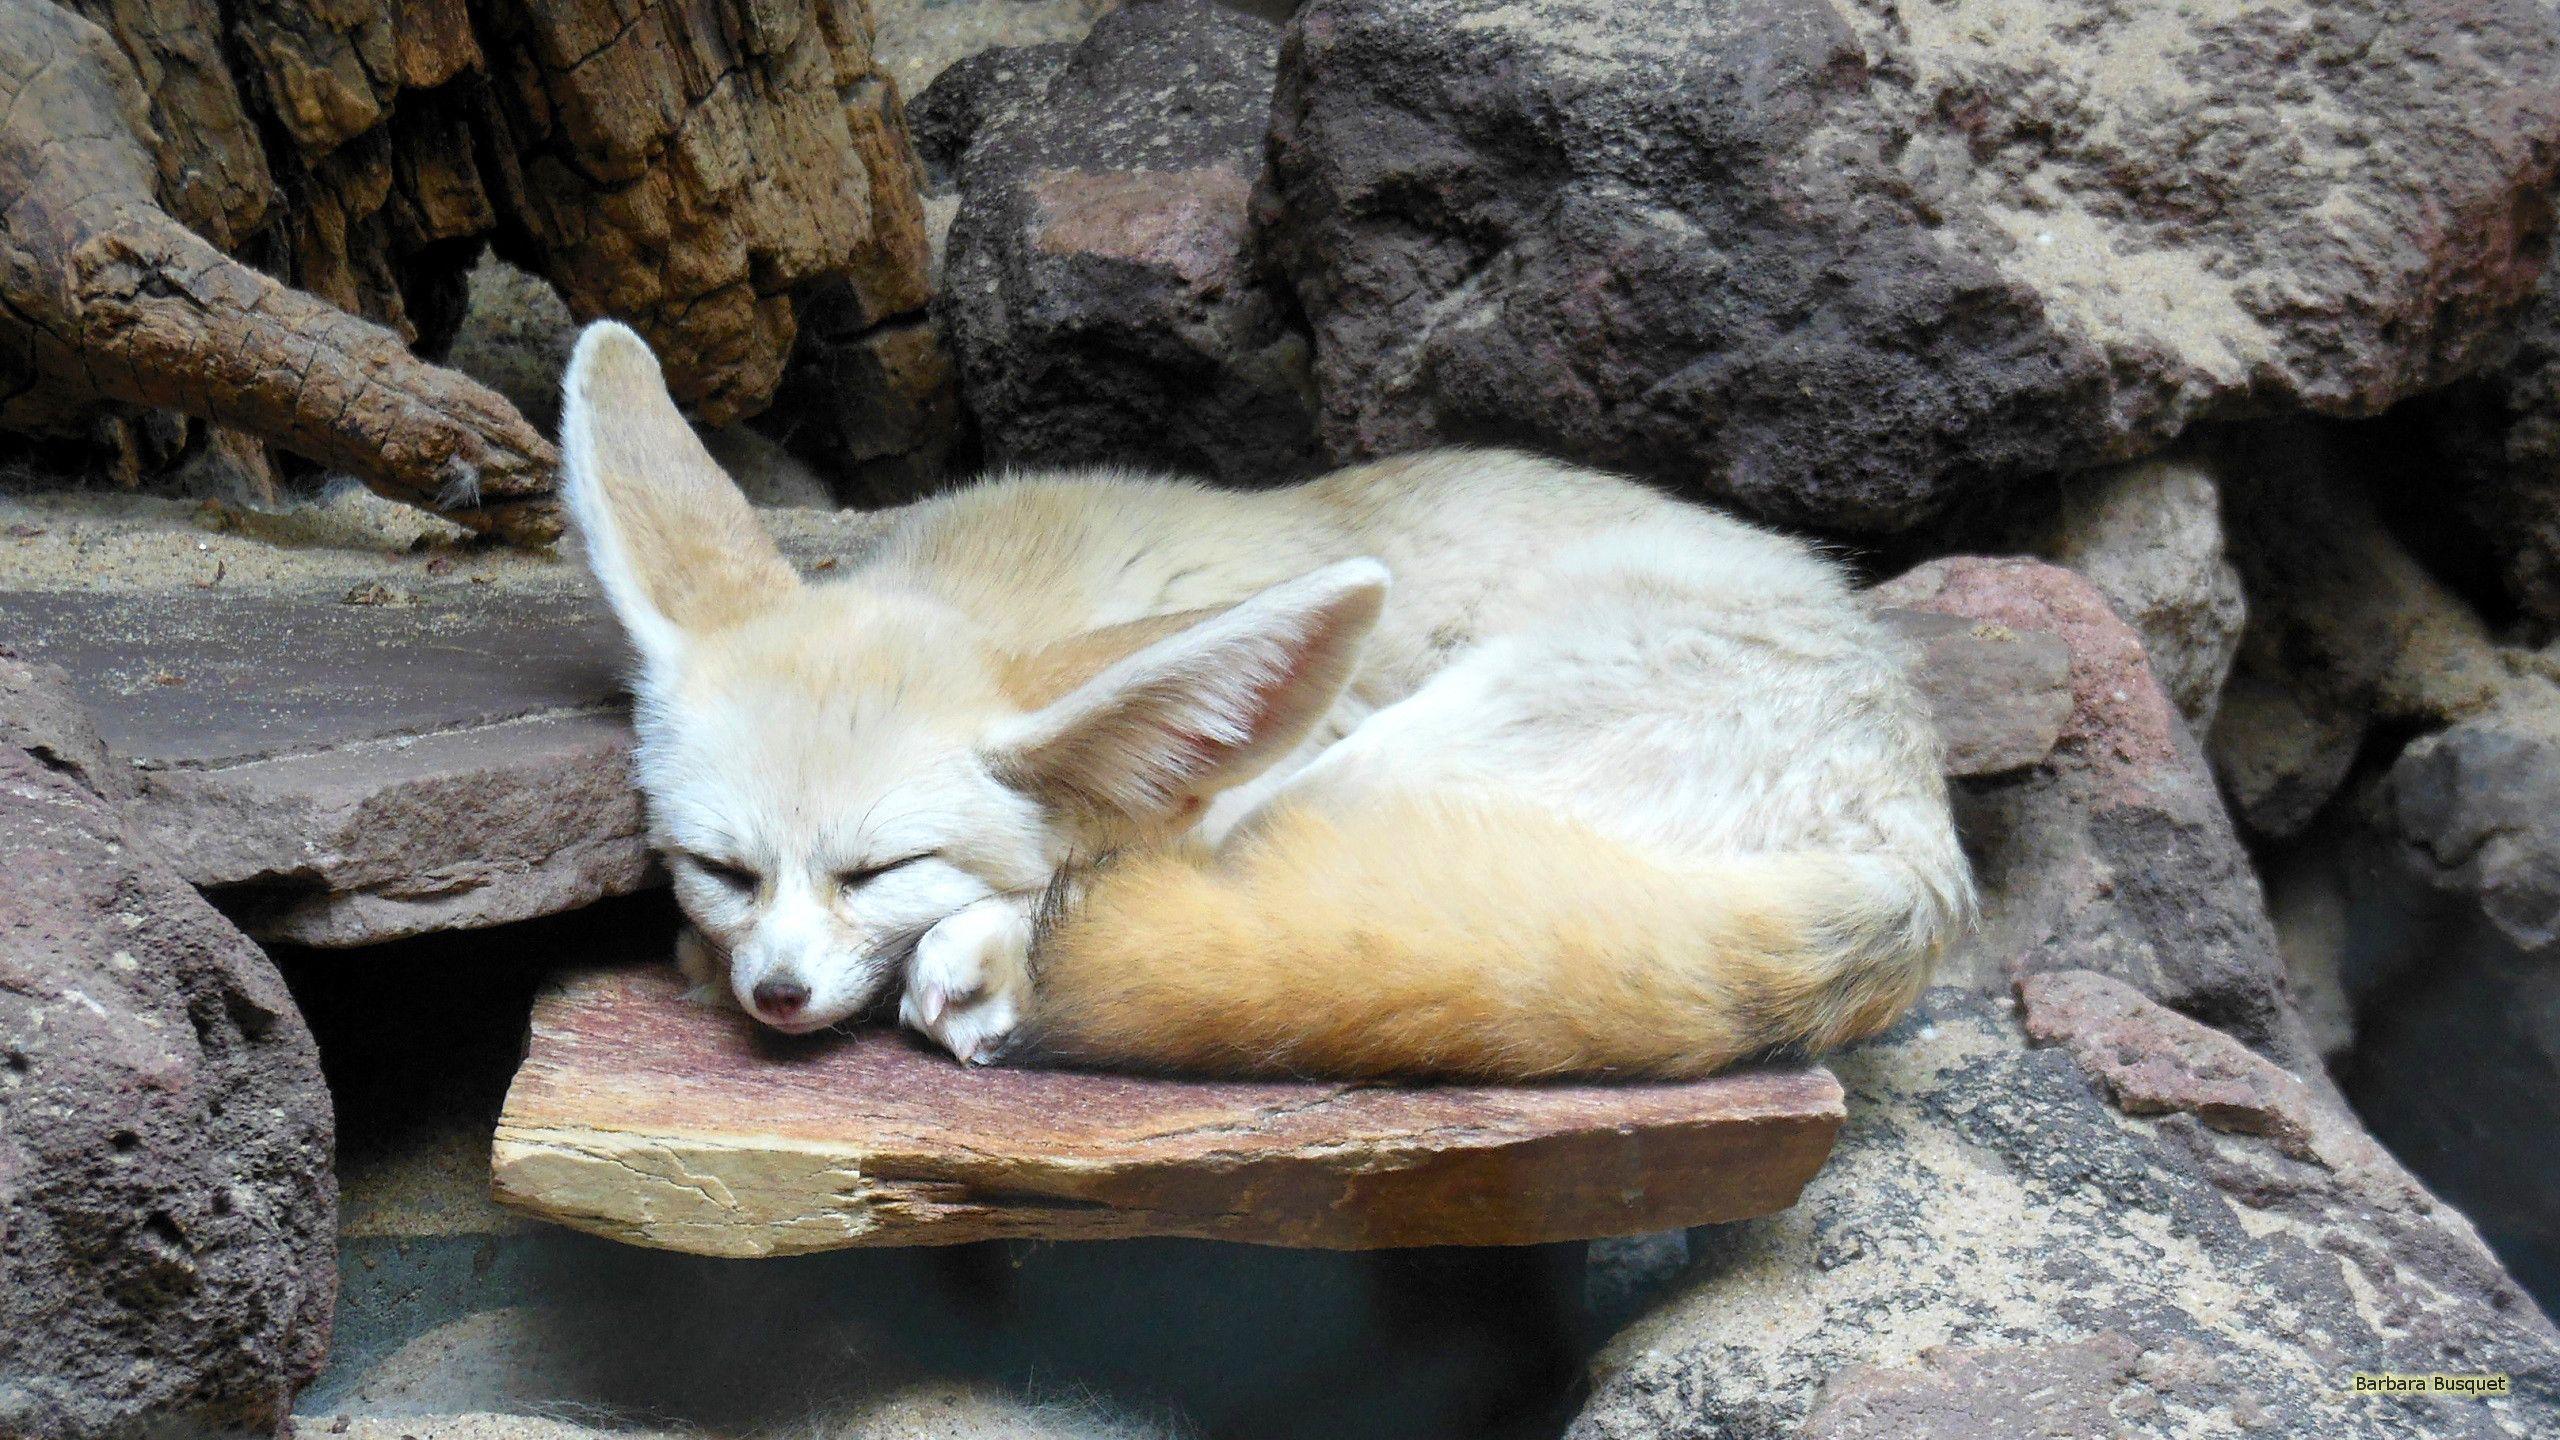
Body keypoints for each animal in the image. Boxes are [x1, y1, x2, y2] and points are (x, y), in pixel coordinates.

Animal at [557, 320, 1973, 1079]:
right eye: (719, 868)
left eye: (882, 869)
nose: (777, 995)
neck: (1014, 575)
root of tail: (1920, 842)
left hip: (1400, 748)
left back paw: (1000, 961)